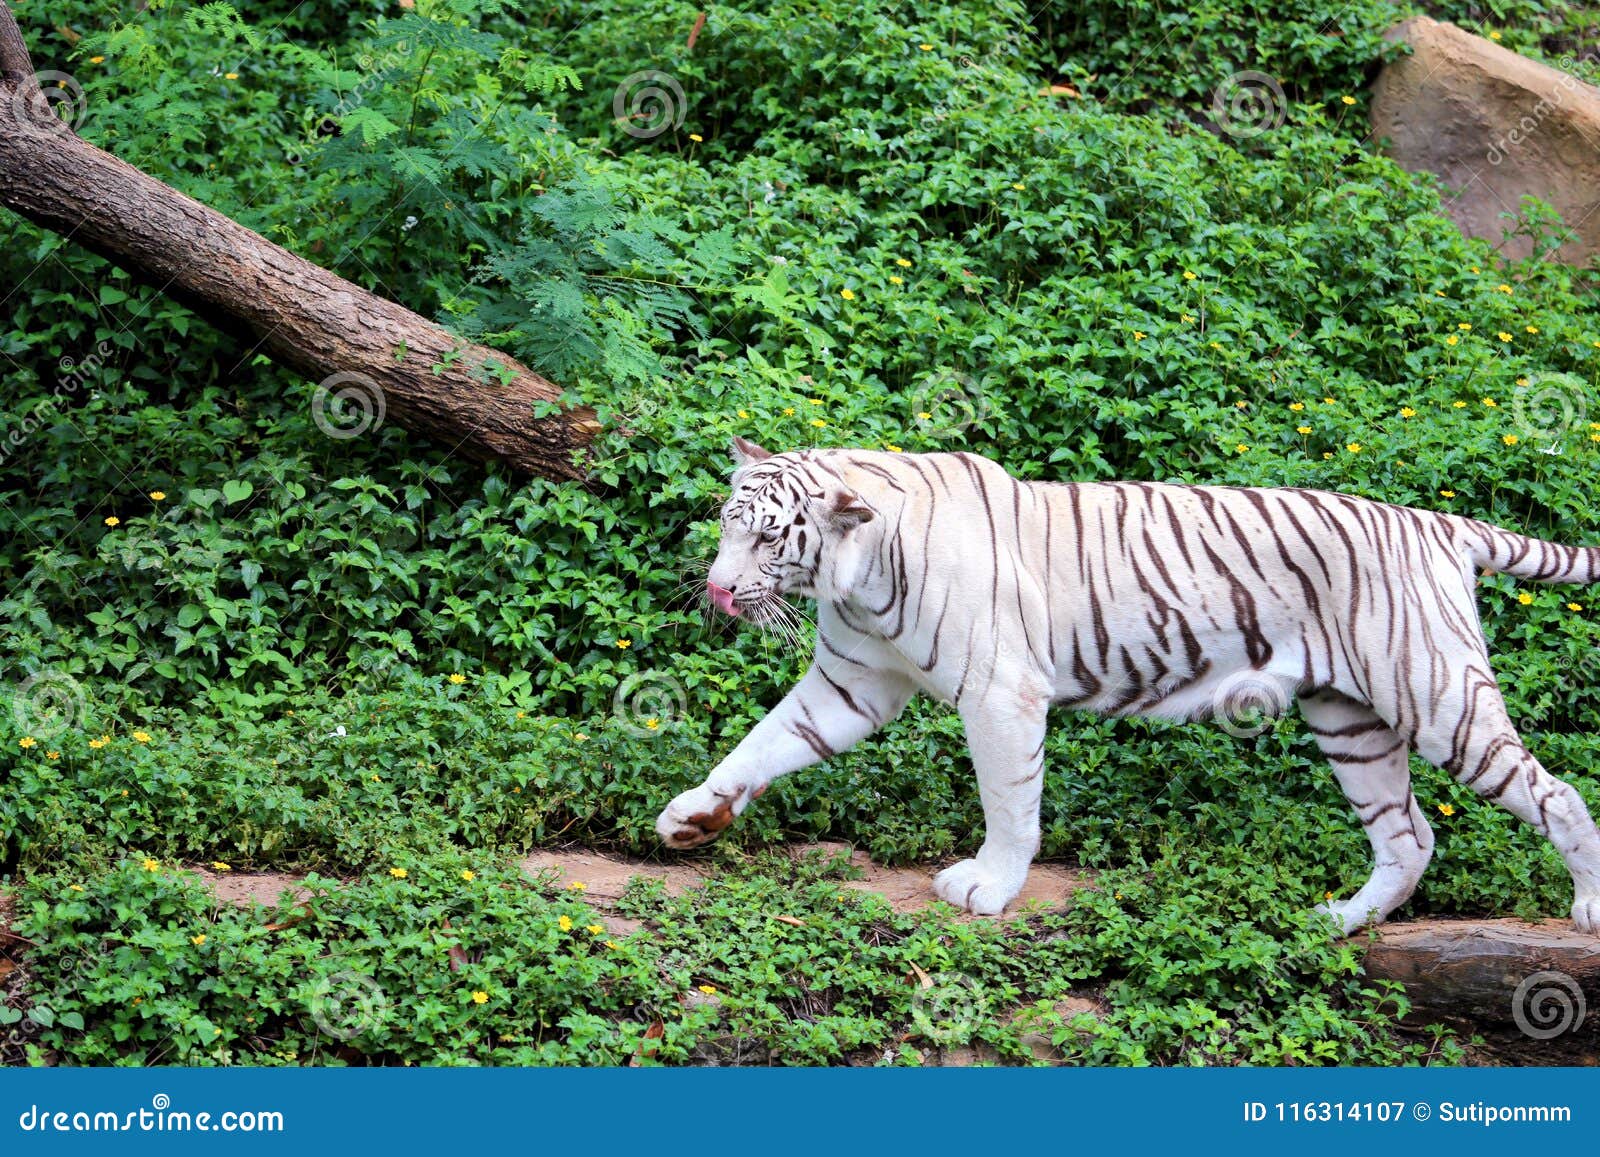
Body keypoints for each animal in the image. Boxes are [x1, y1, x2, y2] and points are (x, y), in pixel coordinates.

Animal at [655, 438, 1600, 935]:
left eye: (769, 538)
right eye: (727, 525)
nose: (718, 589)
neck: (854, 577)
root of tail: (1435, 520)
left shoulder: (1000, 693)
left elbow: (1010, 802)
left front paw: (989, 887)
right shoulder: (852, 682)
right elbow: (767, 740)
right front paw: (692, 815)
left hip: (1436, 696)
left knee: (1559, 795)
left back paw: (1588, 906)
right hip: (1352, 719)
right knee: (1409, 835)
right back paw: (1336, 921)